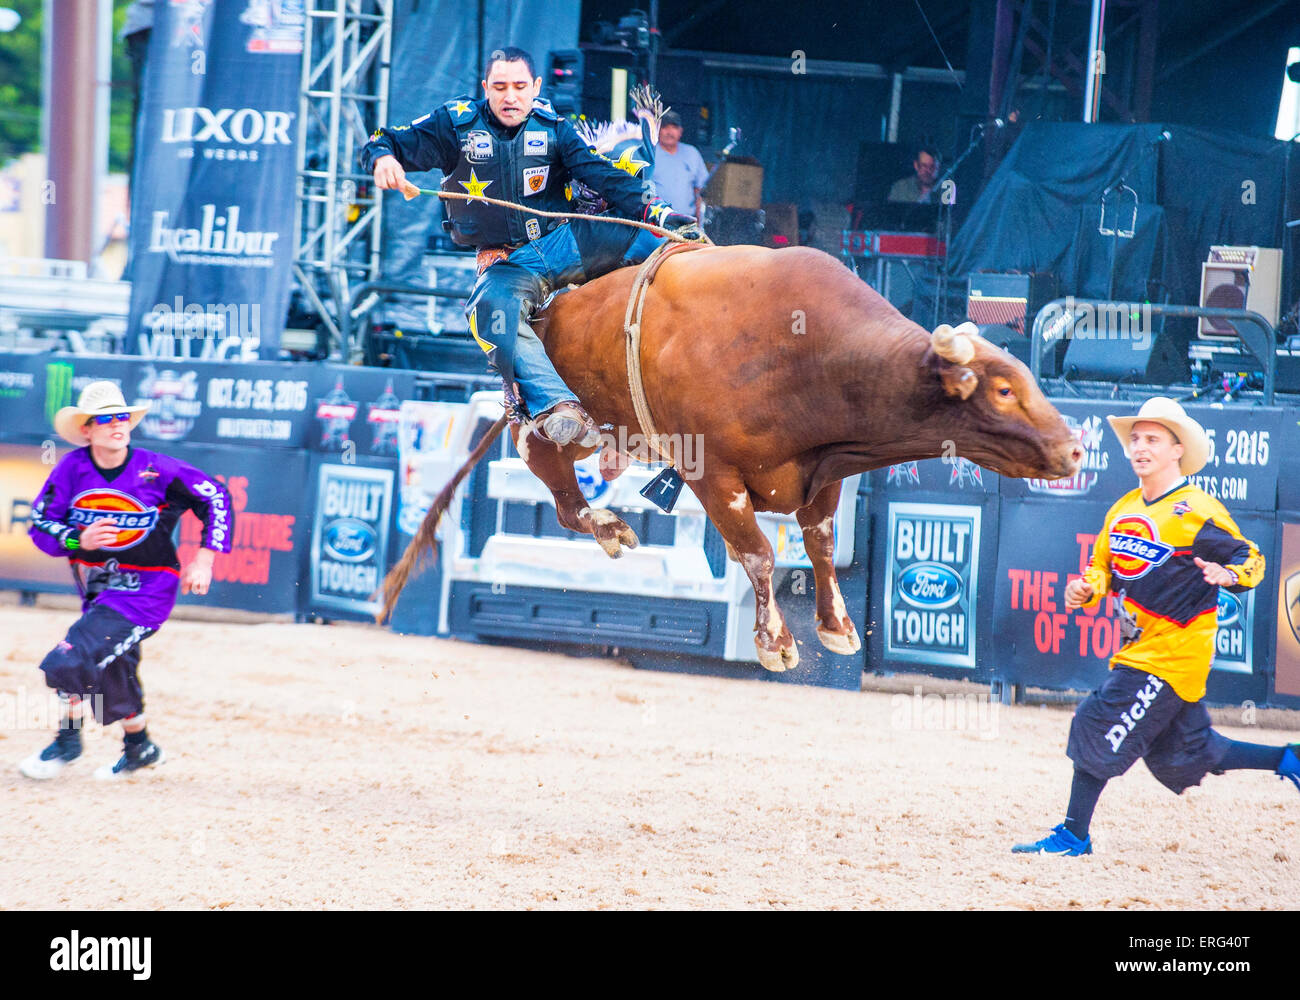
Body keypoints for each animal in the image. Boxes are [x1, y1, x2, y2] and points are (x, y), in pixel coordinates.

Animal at [380, 244, 1082, 672]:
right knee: (558, 492)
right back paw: (607, 525)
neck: (805, 349)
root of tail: (545, 311)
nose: (1075, 447)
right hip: (546, 429)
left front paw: (836, 626)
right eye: (1002, 390)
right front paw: (775, 642)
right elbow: (758, 553)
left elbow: (821, 543)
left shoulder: (822, 471)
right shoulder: (712, 474)